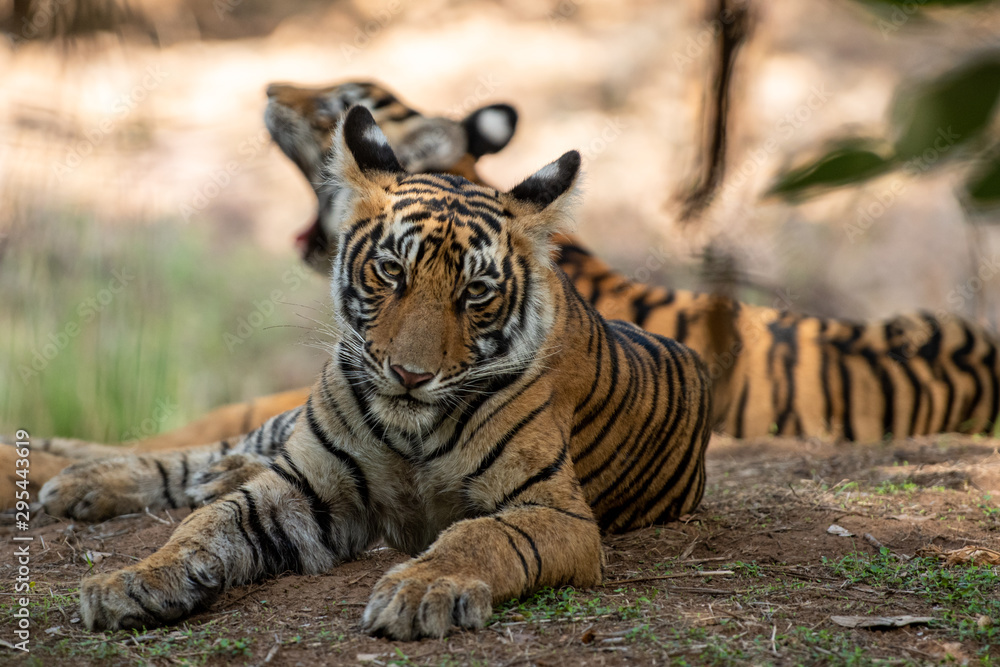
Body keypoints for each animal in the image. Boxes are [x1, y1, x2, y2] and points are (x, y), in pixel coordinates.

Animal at [50, 105, 712, 637]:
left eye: (475, 292)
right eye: (392, 271)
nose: (410, 374)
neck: (410, 430)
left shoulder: (553, 511)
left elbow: (480, 535)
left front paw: (422, 590)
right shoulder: (306, 488)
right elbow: (205, 526)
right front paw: (132, 581)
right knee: (204, 454)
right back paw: (83, 480)